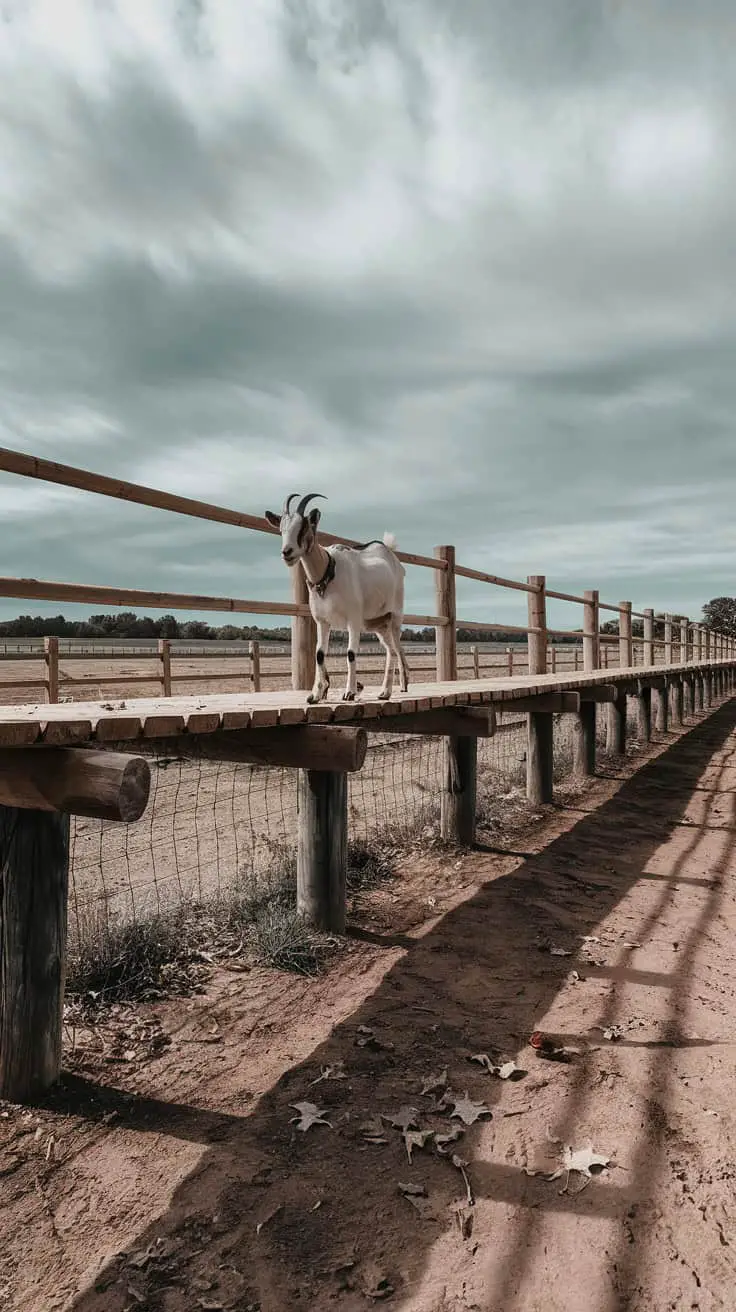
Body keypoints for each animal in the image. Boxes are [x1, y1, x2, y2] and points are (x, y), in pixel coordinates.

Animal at [265, 492, 410, 704]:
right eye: (281, 528)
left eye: (304, 527)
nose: (287, 552)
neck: (328, 570)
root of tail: (392, 555)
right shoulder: (322, 621)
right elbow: (319, 654)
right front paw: (315, 695)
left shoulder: (353, 620)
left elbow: (350, 654)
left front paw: (349, 692)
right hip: (376, 623)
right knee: (390, 650)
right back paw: (384, 692)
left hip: (394, 616)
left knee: (397, 648)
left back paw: (393, 688)